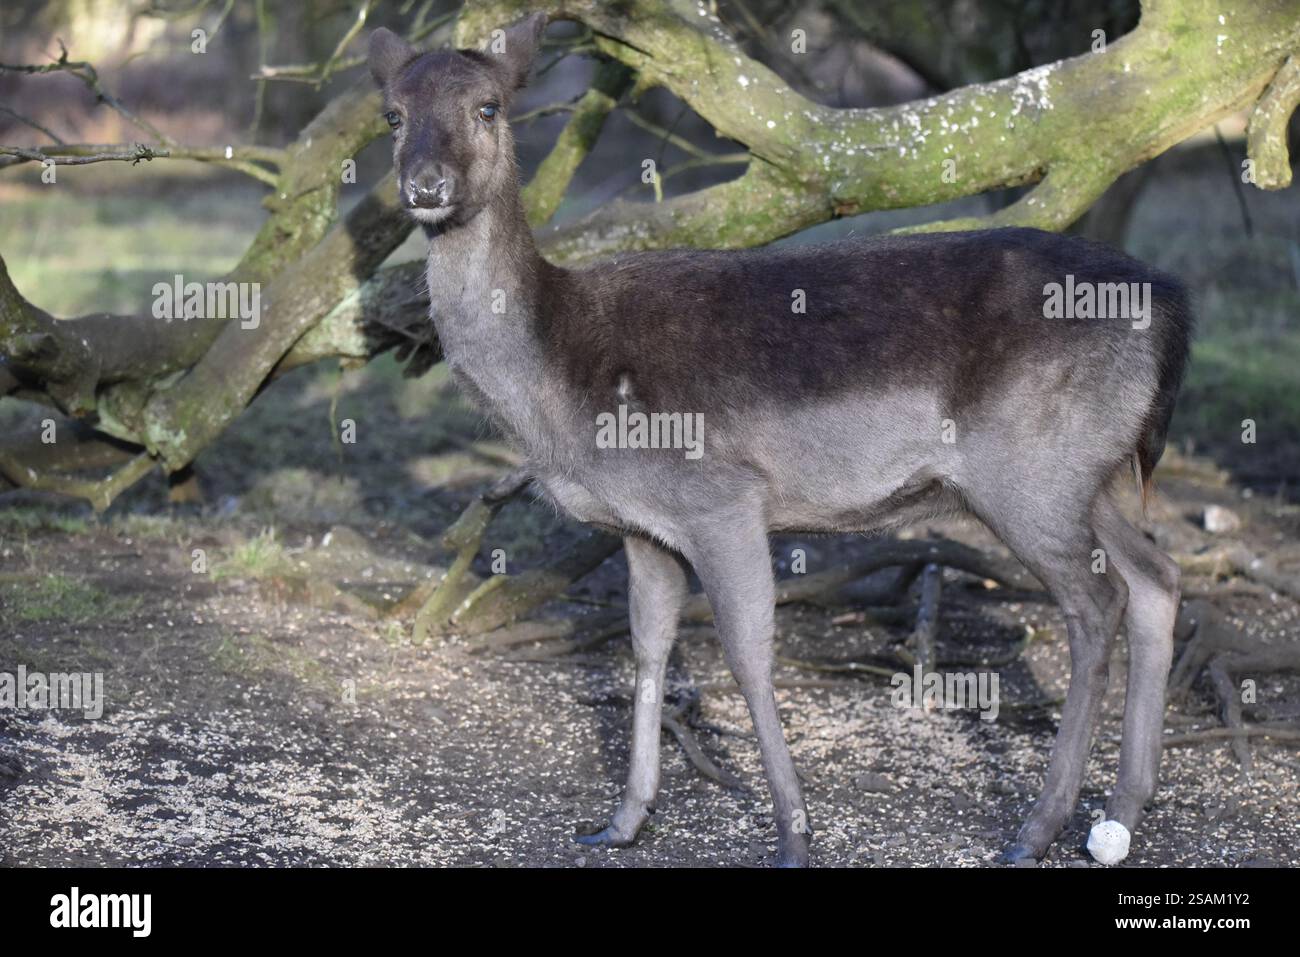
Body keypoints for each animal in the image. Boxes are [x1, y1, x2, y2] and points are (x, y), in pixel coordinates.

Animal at [368, 13, 1192, 867]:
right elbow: (649, 644)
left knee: (1098, 602)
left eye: (489, 106)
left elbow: (747, 648)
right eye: (391, 114)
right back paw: (1121, 810)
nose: (425, 185)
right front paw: (623, 819)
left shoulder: (721, 496)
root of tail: (1174, 306)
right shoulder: (642, 524)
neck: (558, 390)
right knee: (1158, 574)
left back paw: (1038, 824)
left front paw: (795, 832)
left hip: (1029, 475)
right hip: (1087, 477)